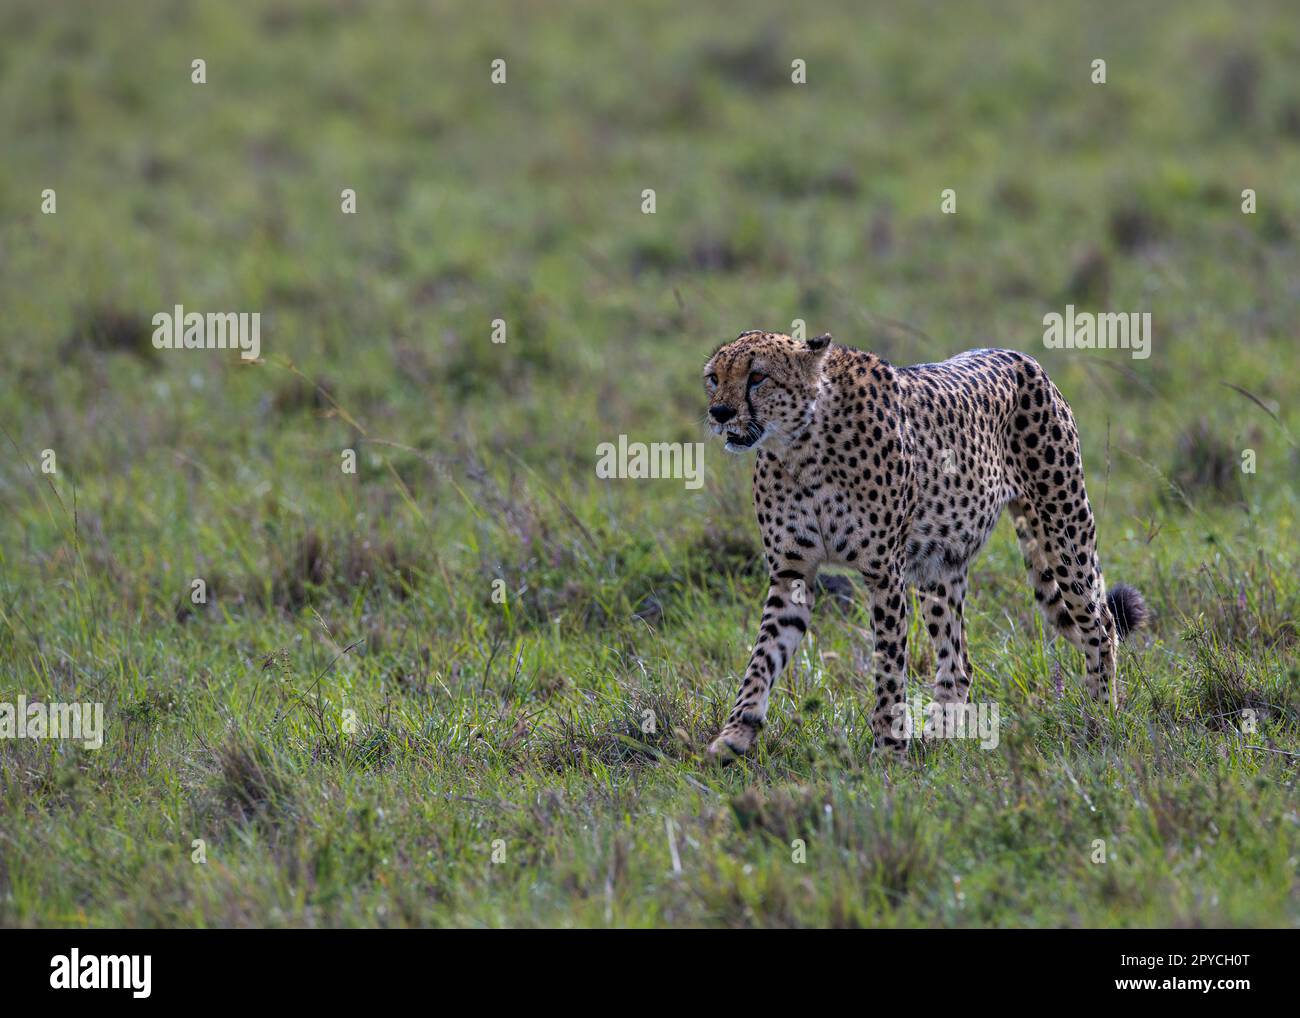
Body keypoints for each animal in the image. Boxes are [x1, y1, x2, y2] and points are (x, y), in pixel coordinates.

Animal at [701, 329, 1147, 760]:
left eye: (757, 377)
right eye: (714, 378)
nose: (719, 413)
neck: (801, 446)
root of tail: (1020, 356)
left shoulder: (884, 573)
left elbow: (888, 667)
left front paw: (888, 752)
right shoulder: (792, 572)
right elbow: (762, 658)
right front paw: (735, 736)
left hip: (1064, 529)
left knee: (1101, 625)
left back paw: (1100, 717)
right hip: (940, 564)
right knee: (959, 664)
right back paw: (937, 739)